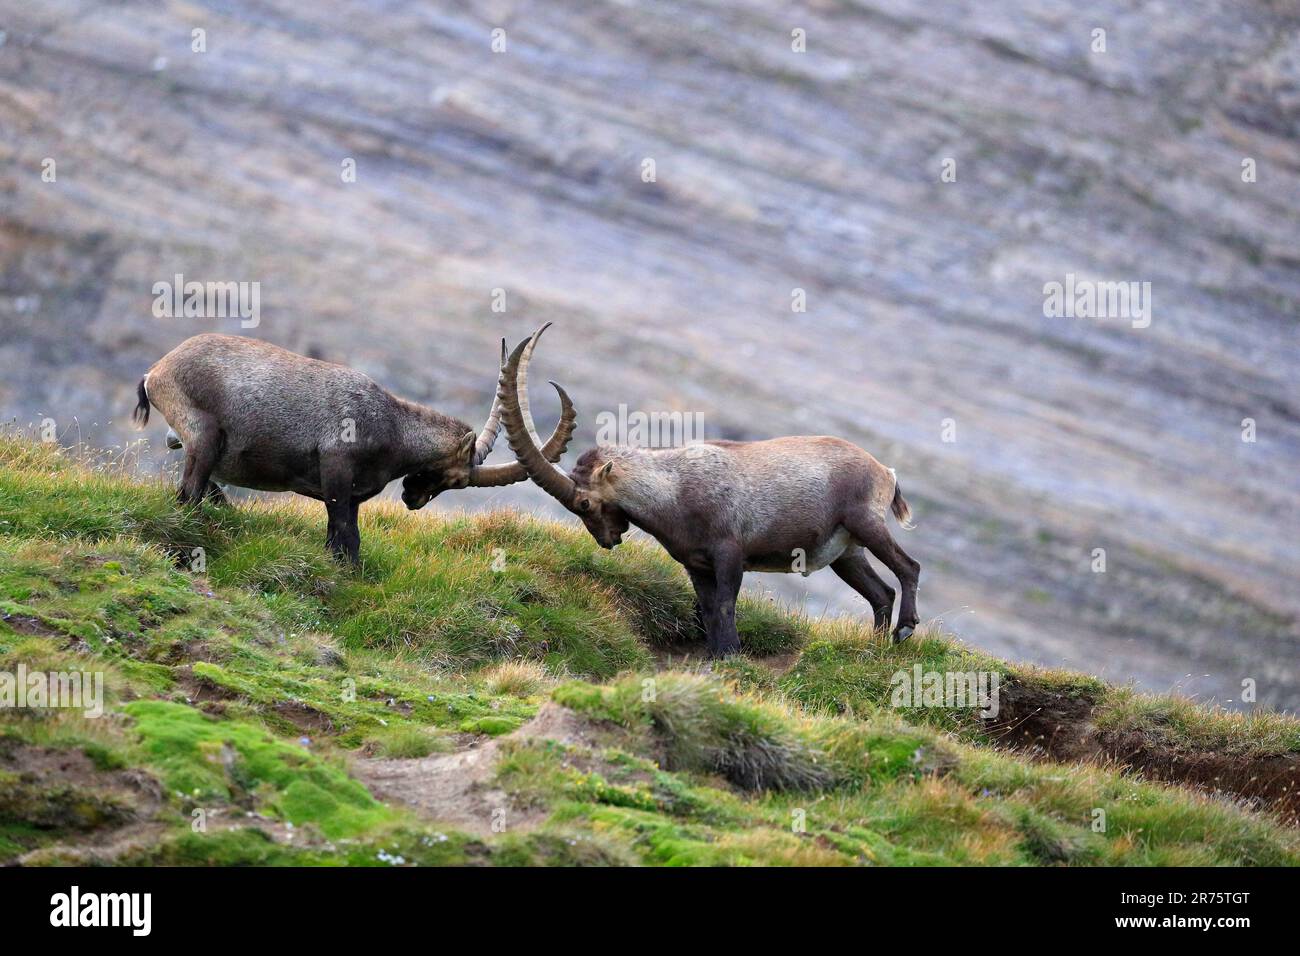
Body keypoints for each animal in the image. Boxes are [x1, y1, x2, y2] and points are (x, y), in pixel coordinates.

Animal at [132, 327, 574, 562]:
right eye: (454, 477)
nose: (413, 499)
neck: (394, 426)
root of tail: (157, 370)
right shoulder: (336, 470)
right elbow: (341, 533)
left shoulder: (354, 494)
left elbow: (350, 538)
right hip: (204, 439)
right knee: (187, 493)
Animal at [495, 335, 921, 656]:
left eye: (584, 503)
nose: (607, 540)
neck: (672, 490)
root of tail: (884, 470)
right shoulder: (696, 565)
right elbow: (708, 607)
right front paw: (716, 654)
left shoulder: (729, 553)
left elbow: (726, 604)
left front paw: (730, 654)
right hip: (845, 551)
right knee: (881, 592)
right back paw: (875, 649)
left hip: (864, 522)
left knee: (908, 567)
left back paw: (905, 629)